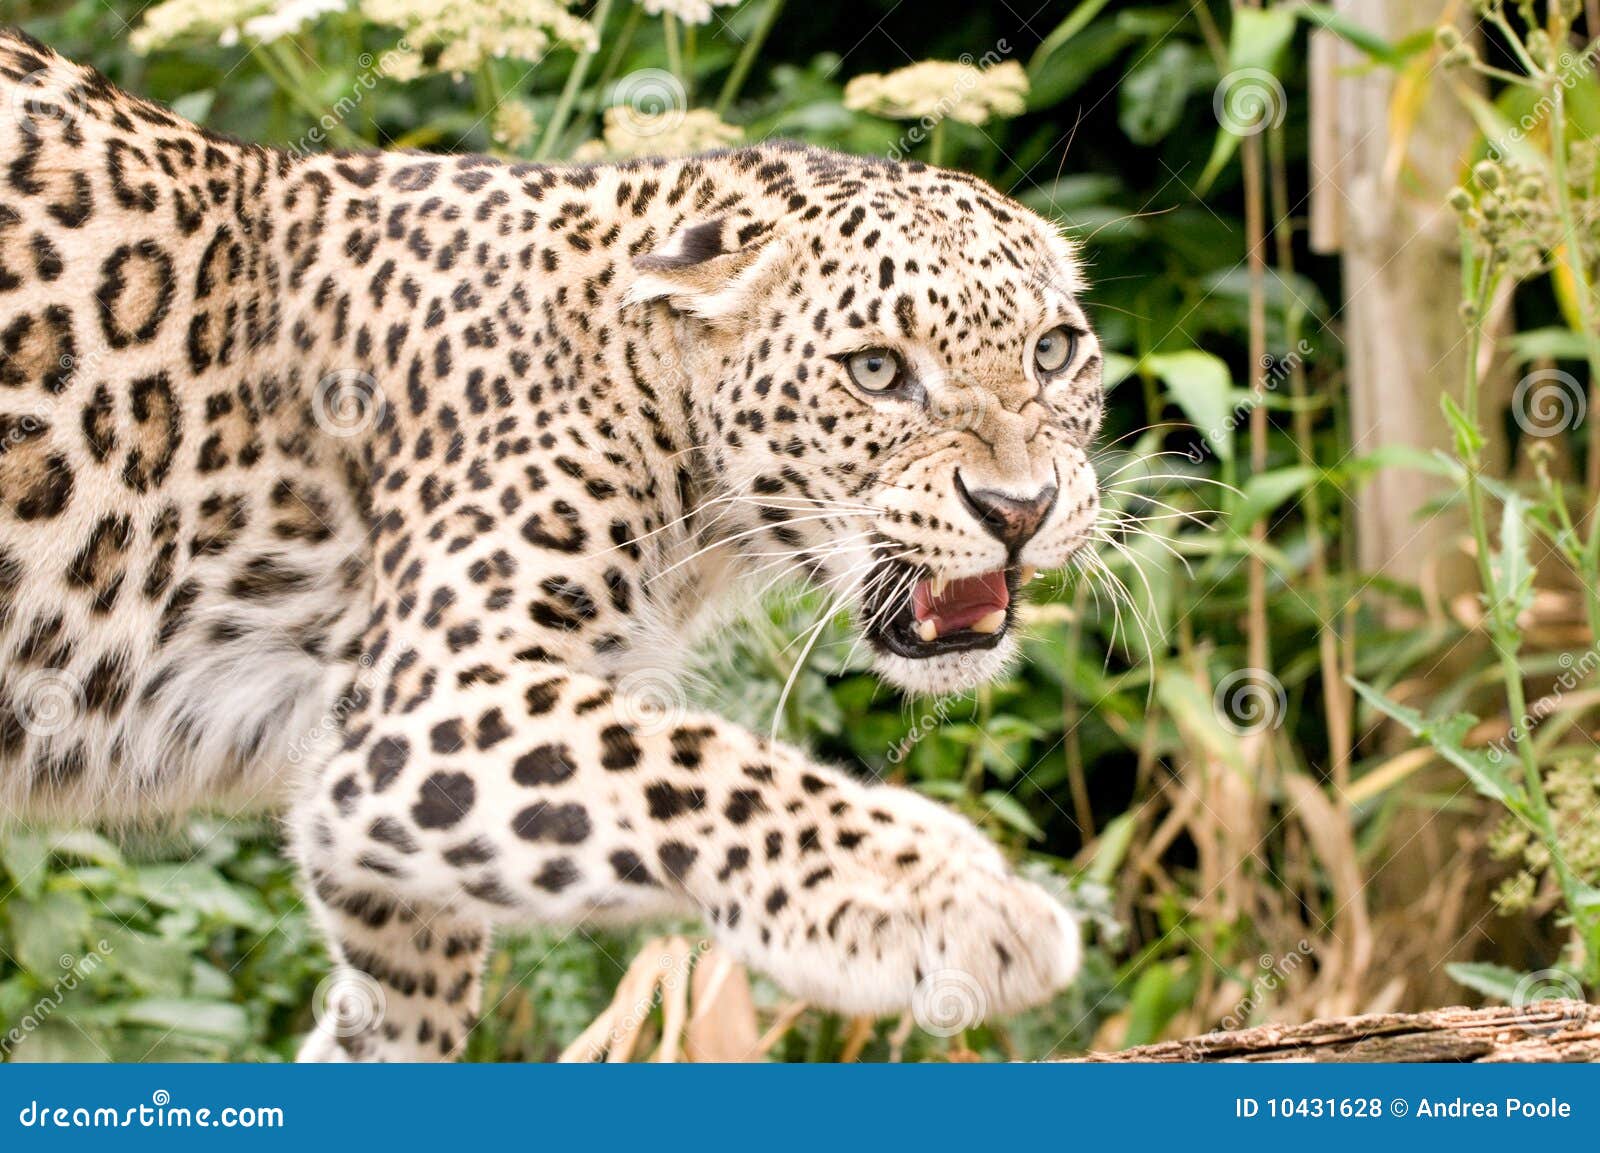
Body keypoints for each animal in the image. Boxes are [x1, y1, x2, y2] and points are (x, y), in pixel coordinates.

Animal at [0, 28, 1105, 1061]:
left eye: (1055, 352)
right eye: (875, 370)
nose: (1018, 508)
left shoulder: (370, 821)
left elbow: (402, 999)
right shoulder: (423, 706)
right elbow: (700, 764)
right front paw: (947, 903)